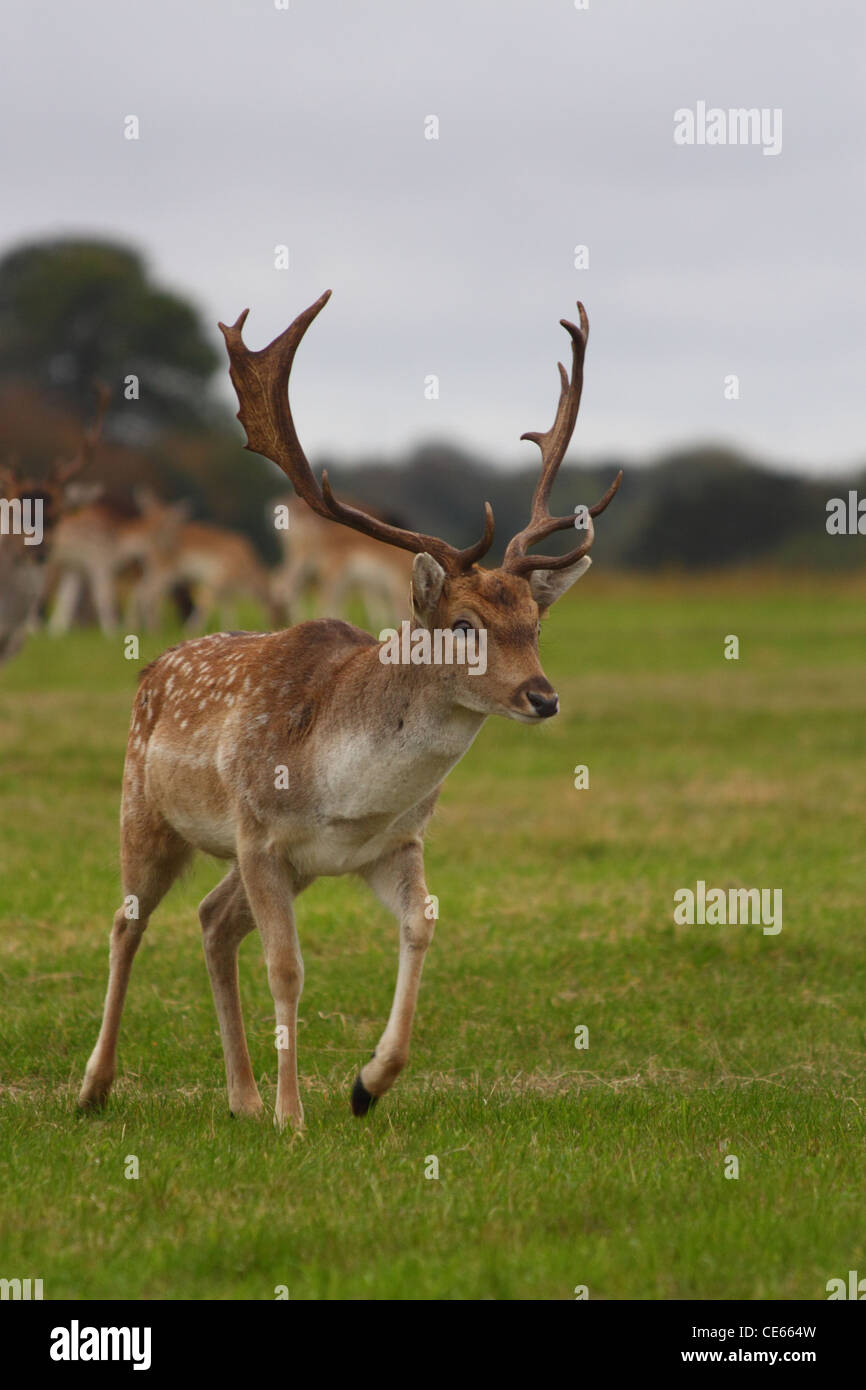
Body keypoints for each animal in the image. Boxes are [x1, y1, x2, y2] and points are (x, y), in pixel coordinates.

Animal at [77, 291, 620, 1129]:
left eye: (537, 619)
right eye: (464, 624)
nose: (543, 695)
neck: (346, 791)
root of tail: (153, 666)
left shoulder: (389, 844)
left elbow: (422, 926)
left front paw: (366, 1084)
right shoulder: (260, 835)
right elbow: (288, 967)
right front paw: (294, 1118)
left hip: (268, 864)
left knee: (211, 920)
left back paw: (239, 1097)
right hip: (147, 809)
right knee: (126, 922)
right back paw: (96, 1087)